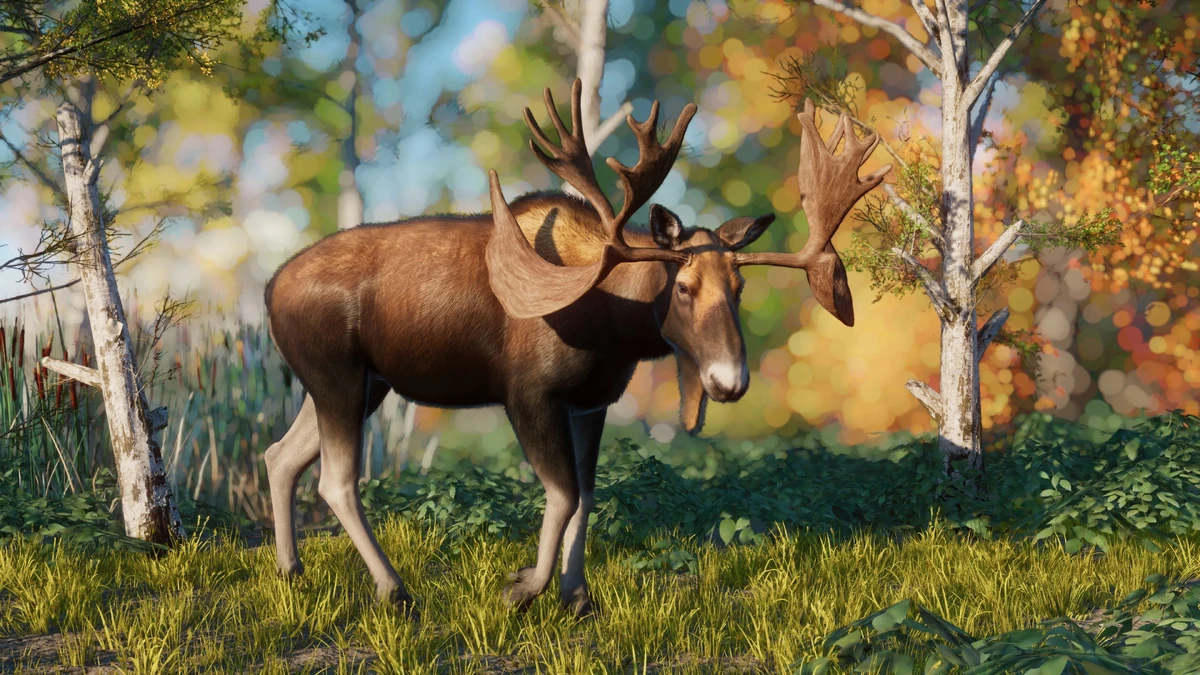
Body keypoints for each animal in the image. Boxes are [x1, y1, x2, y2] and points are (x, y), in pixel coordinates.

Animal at [263, 79, 890, 618]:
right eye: (683, 287)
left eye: (739, 288)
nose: (729, 381)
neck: (616, 328)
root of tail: (269, 288)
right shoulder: (527, 393)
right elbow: (562, 493)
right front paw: (523, 588)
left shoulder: (592, 401)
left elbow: (587, 495)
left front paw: (578, 596)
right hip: (338, 376)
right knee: (335, 480)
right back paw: (394, 589)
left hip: (361, 384)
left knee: (281, 454)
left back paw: (291, 570)